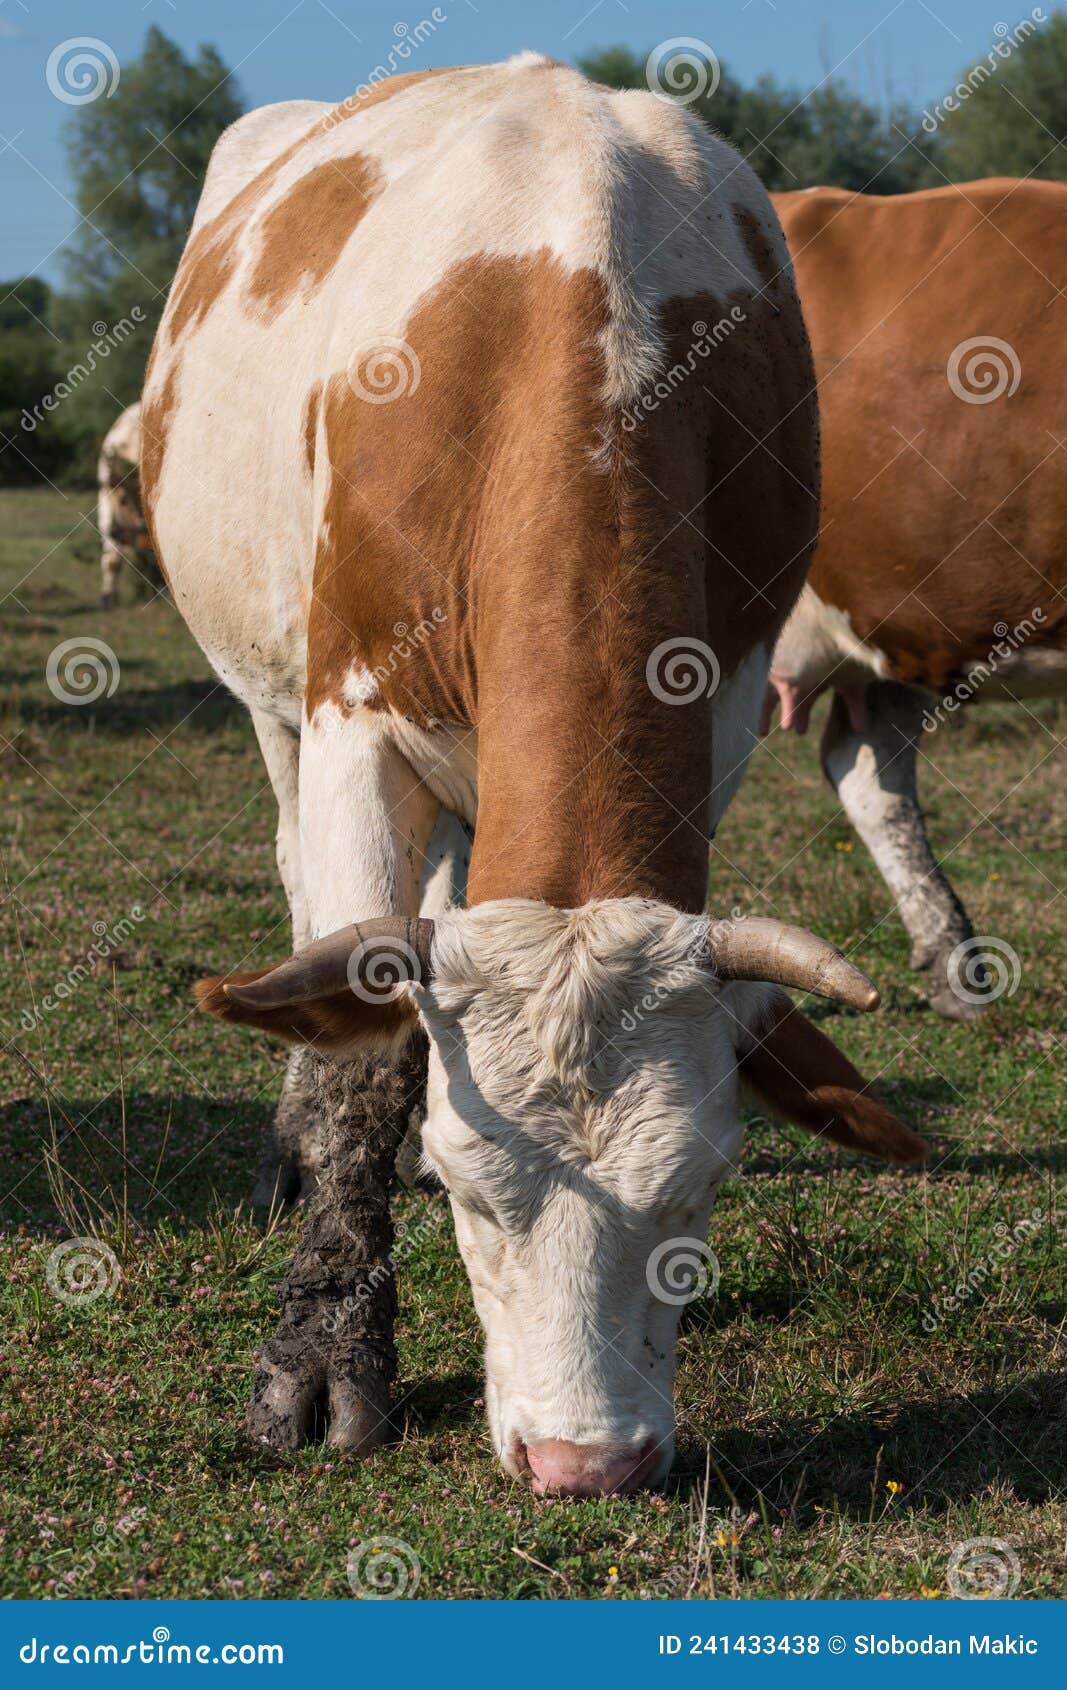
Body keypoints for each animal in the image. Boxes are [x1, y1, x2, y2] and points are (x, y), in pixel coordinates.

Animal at [142, 57, 925, 1498]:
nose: (583, 1462)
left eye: (701, 1188)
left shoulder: (722, 708)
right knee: (309, 911)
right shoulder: (351, 719)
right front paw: (324, 1347)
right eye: (469, 1191)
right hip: (268, 697)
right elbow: (357, 1054)